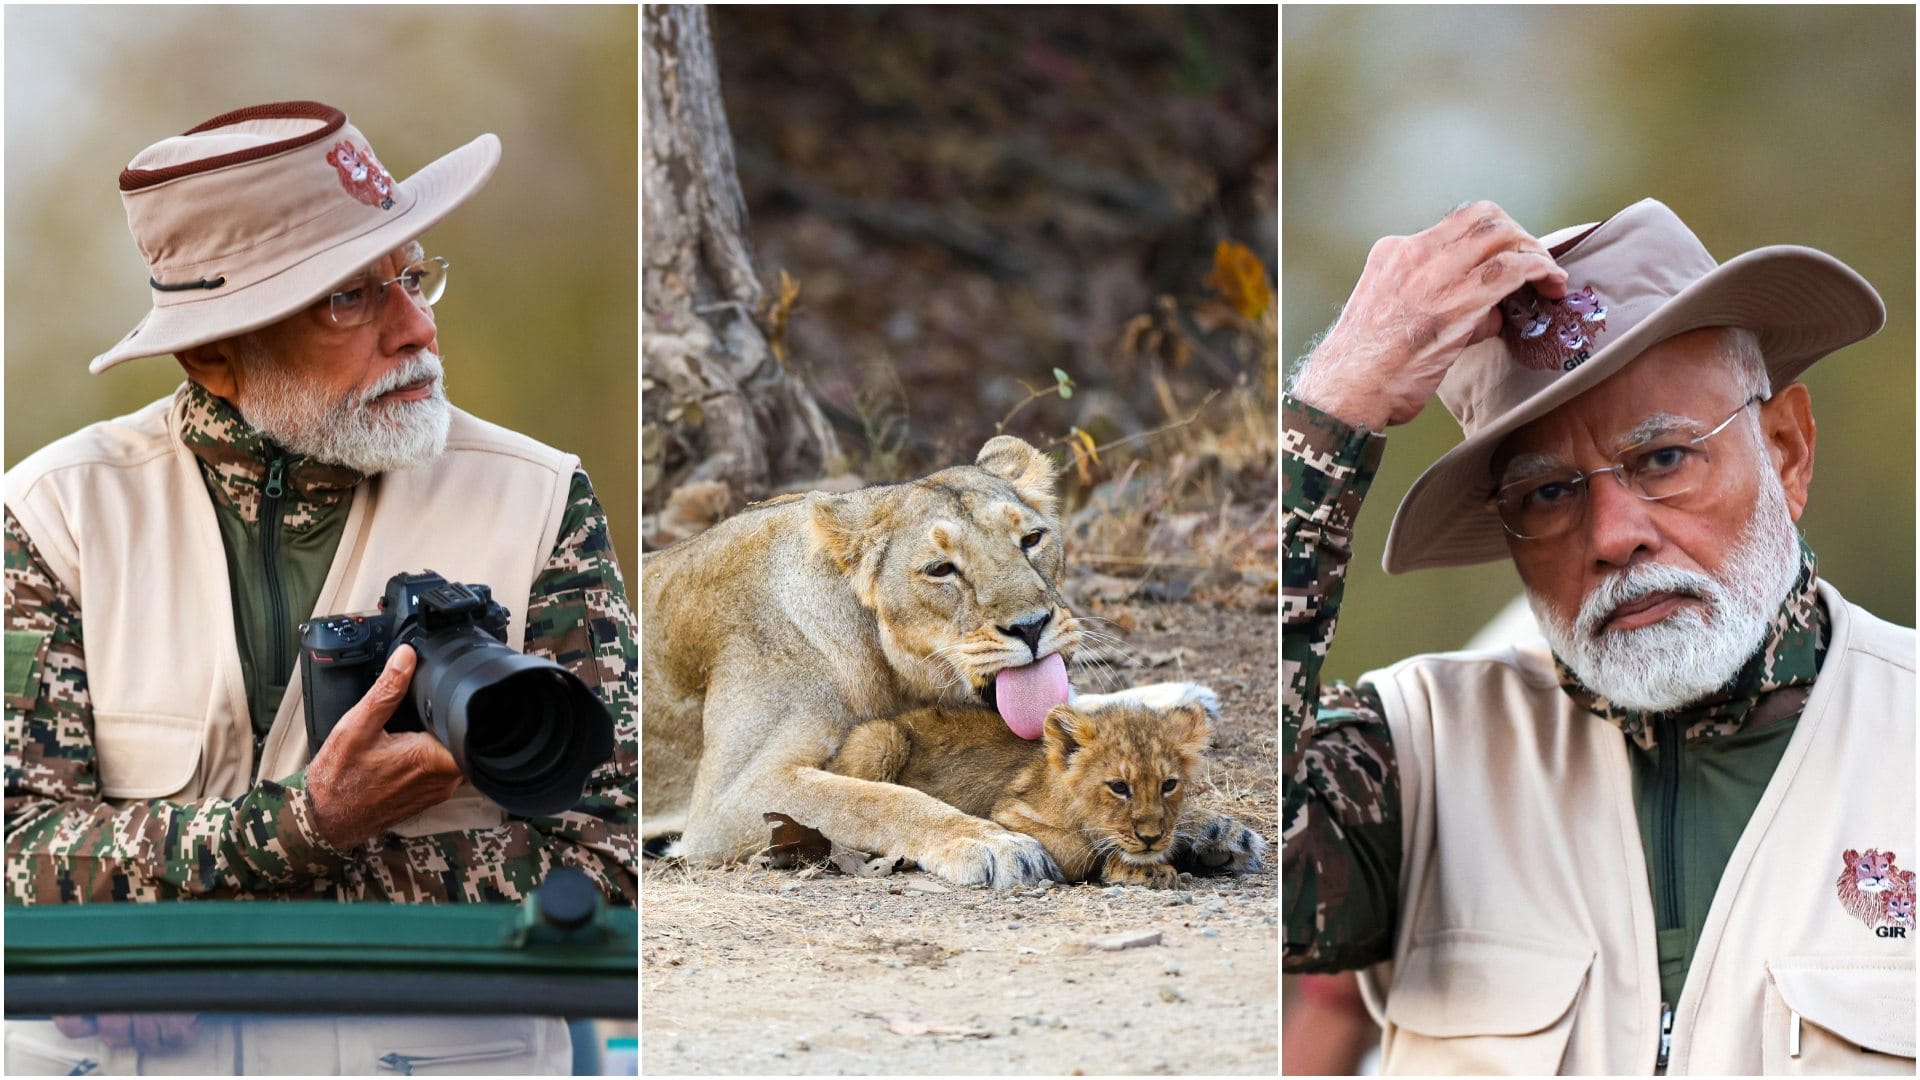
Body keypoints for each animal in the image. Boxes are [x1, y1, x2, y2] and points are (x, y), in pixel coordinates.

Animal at [826, 699, 1268, 888]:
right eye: (1119, 787)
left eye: (1168, 785)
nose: (1150, 837)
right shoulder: (1007, 813)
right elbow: (1077, 849)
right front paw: (1133, 867)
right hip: (879, 739)